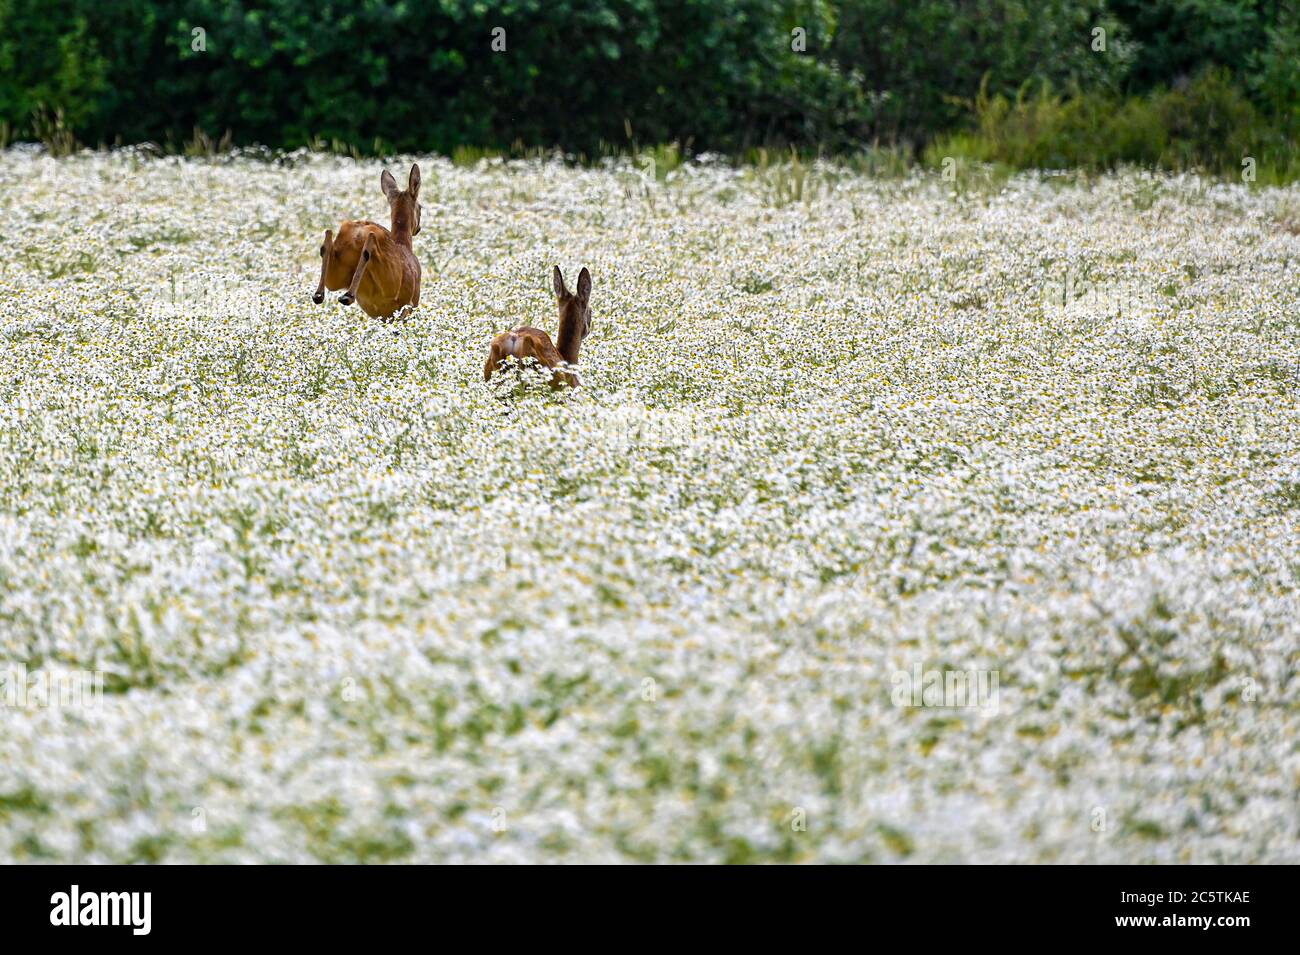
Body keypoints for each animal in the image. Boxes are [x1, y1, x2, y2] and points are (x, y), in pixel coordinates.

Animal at [312, 164, 422, 319]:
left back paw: (319, 295)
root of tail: (358, 232)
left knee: (328, 236)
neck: (404, 243)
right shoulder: (409, 306)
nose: (418, 229)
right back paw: (347, 296)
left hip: (335, 277)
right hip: (390, 283)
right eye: (420, 207)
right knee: (370, 242)